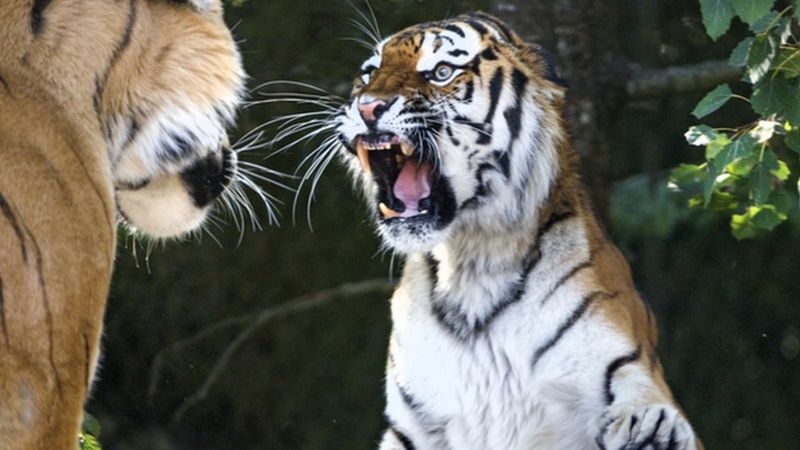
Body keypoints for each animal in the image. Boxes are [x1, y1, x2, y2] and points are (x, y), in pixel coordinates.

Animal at [309, 11, 703, 450]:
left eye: (442, 72)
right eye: (369, 74)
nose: (368, 107)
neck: (471, 264)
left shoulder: (627, 365)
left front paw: (650, 429)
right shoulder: (412, 426)